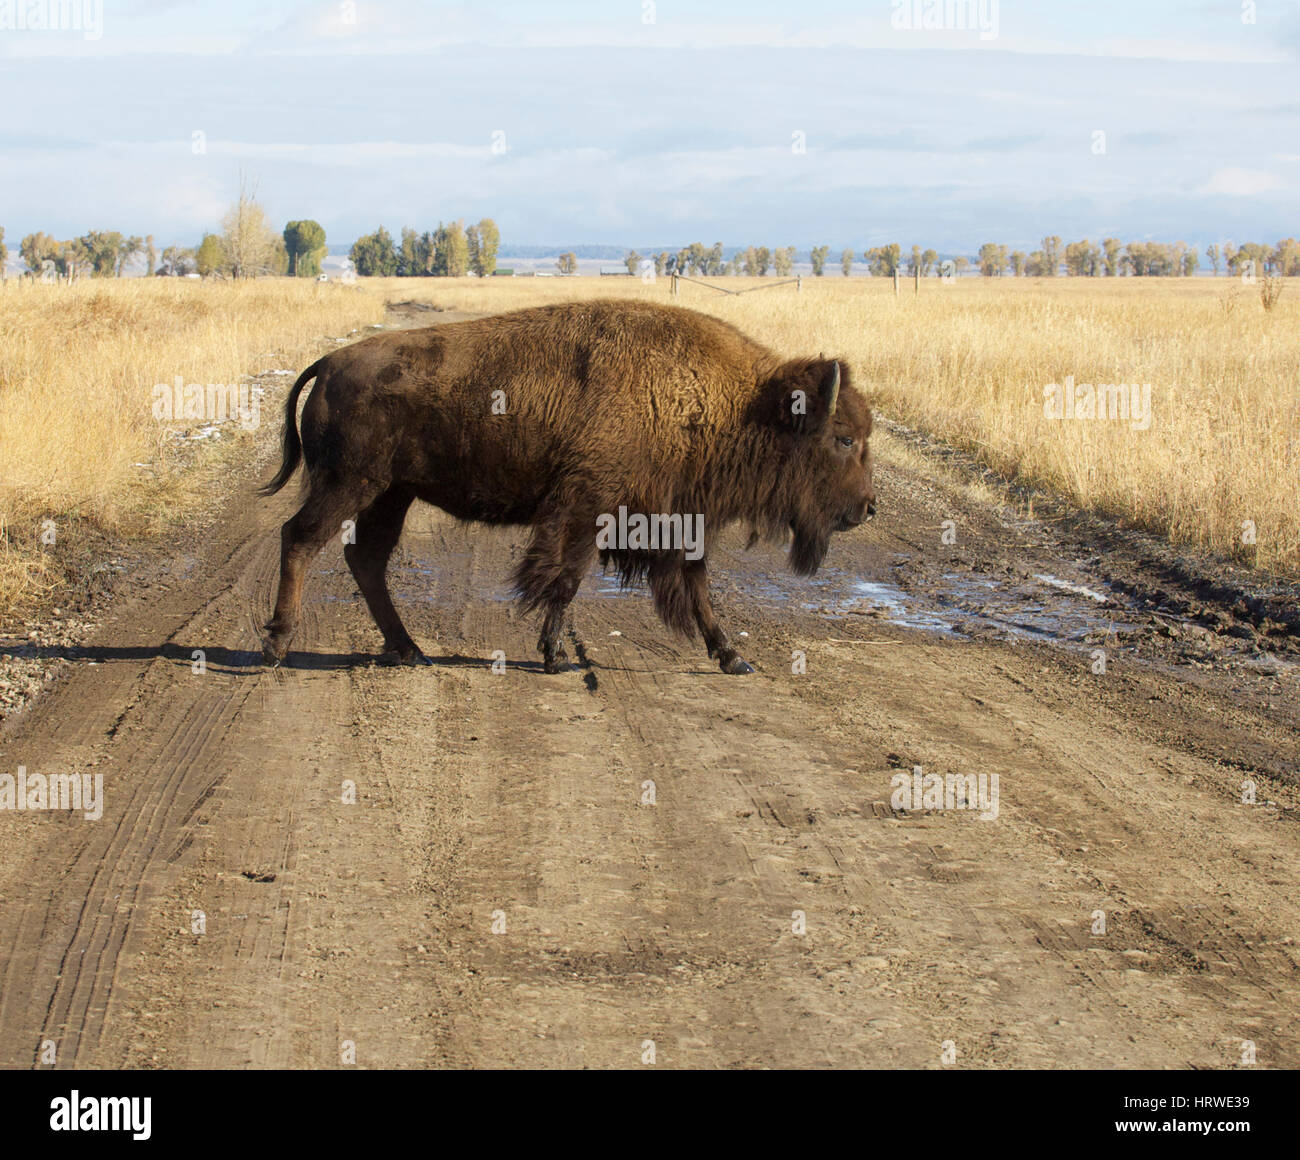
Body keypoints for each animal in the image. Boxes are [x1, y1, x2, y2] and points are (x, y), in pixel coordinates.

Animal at [260, 299, 875, 673]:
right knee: (301, 538)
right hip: (351, 485)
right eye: (844, 438)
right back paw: (277, 645)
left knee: (366, 558)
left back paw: (408, 650)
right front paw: (555, 656)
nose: (868, 508)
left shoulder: (674, 522)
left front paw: (732, 658)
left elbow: (697, 588)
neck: (730, 401)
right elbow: (567, 578)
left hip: (391, 493)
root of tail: (329, 362)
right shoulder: (588, 508)